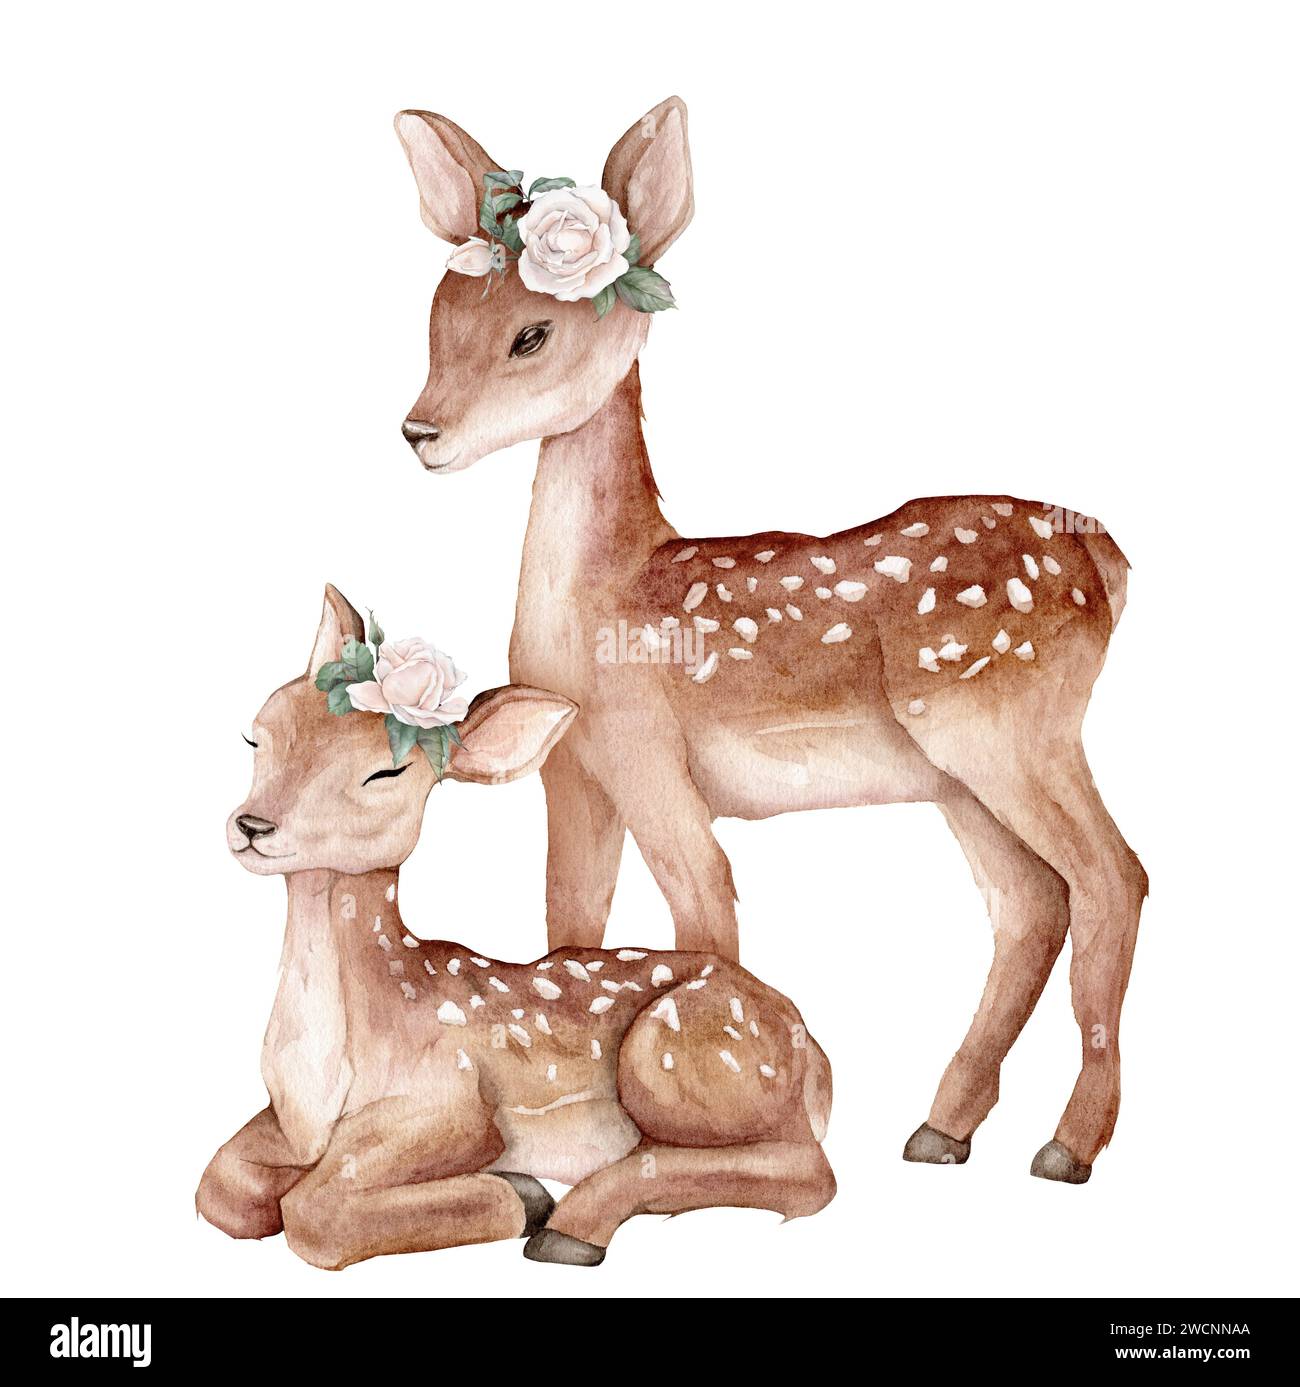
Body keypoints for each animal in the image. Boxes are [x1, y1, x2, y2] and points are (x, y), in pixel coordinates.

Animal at [196, 586, 835, 1269]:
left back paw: (567, 1224)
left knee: (807, 1172)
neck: (323, 1073)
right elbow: (221, 1184)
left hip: (674, 1058)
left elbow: (315, 1213)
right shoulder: (284, 1122)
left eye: (386, 773)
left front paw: (520, 1194)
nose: (253, 825)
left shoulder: (448, 1105)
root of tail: (816, 1062)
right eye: (257, 736)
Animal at [391, 97, 1148, 1186]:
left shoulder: (647, 752)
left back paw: (1067, 1145)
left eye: (532, 333)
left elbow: (706, 915)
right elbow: (569, 929)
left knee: (1111, 877)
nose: (421, 431)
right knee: (1030, 902)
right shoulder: (572, 773)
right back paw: (941, 1129)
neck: (608, 601)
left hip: (1013, 726)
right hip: (956, 772)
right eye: (437, 318)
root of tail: (1106, 559)